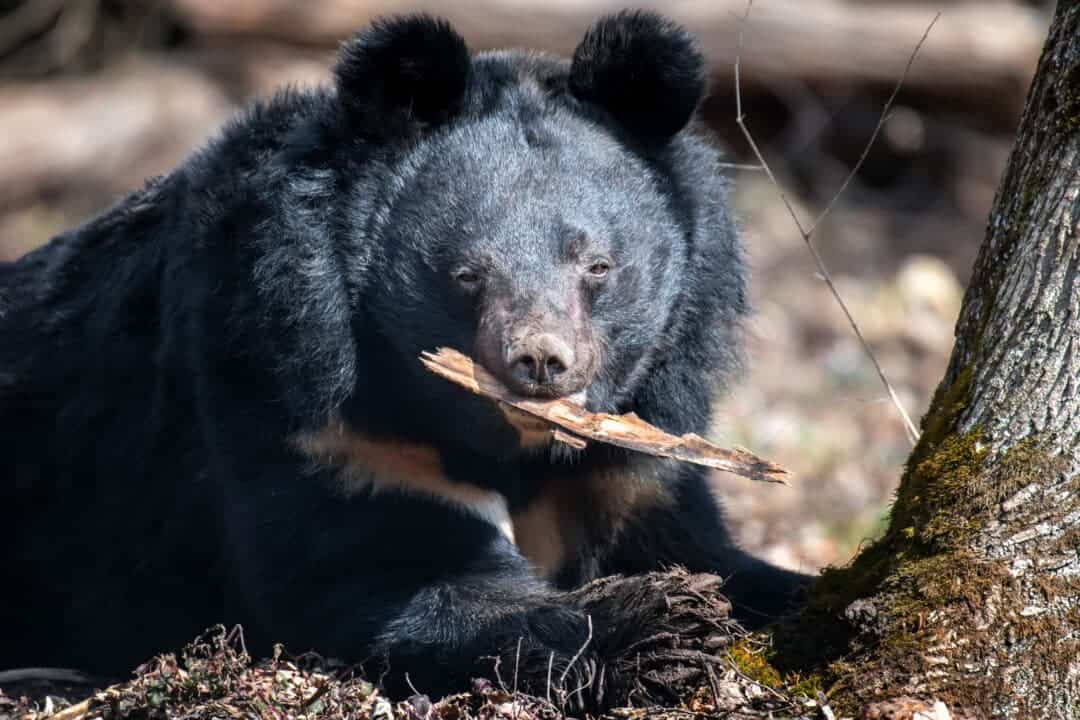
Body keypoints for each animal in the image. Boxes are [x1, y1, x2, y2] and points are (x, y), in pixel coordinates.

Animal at [0, 10, 808, 709]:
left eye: (598, 267)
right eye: (467, 273)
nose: (540, 363)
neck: (507, 445)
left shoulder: (632, 457)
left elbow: (700, 546)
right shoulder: (320, 417)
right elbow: (396, 576)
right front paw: (662, 627)